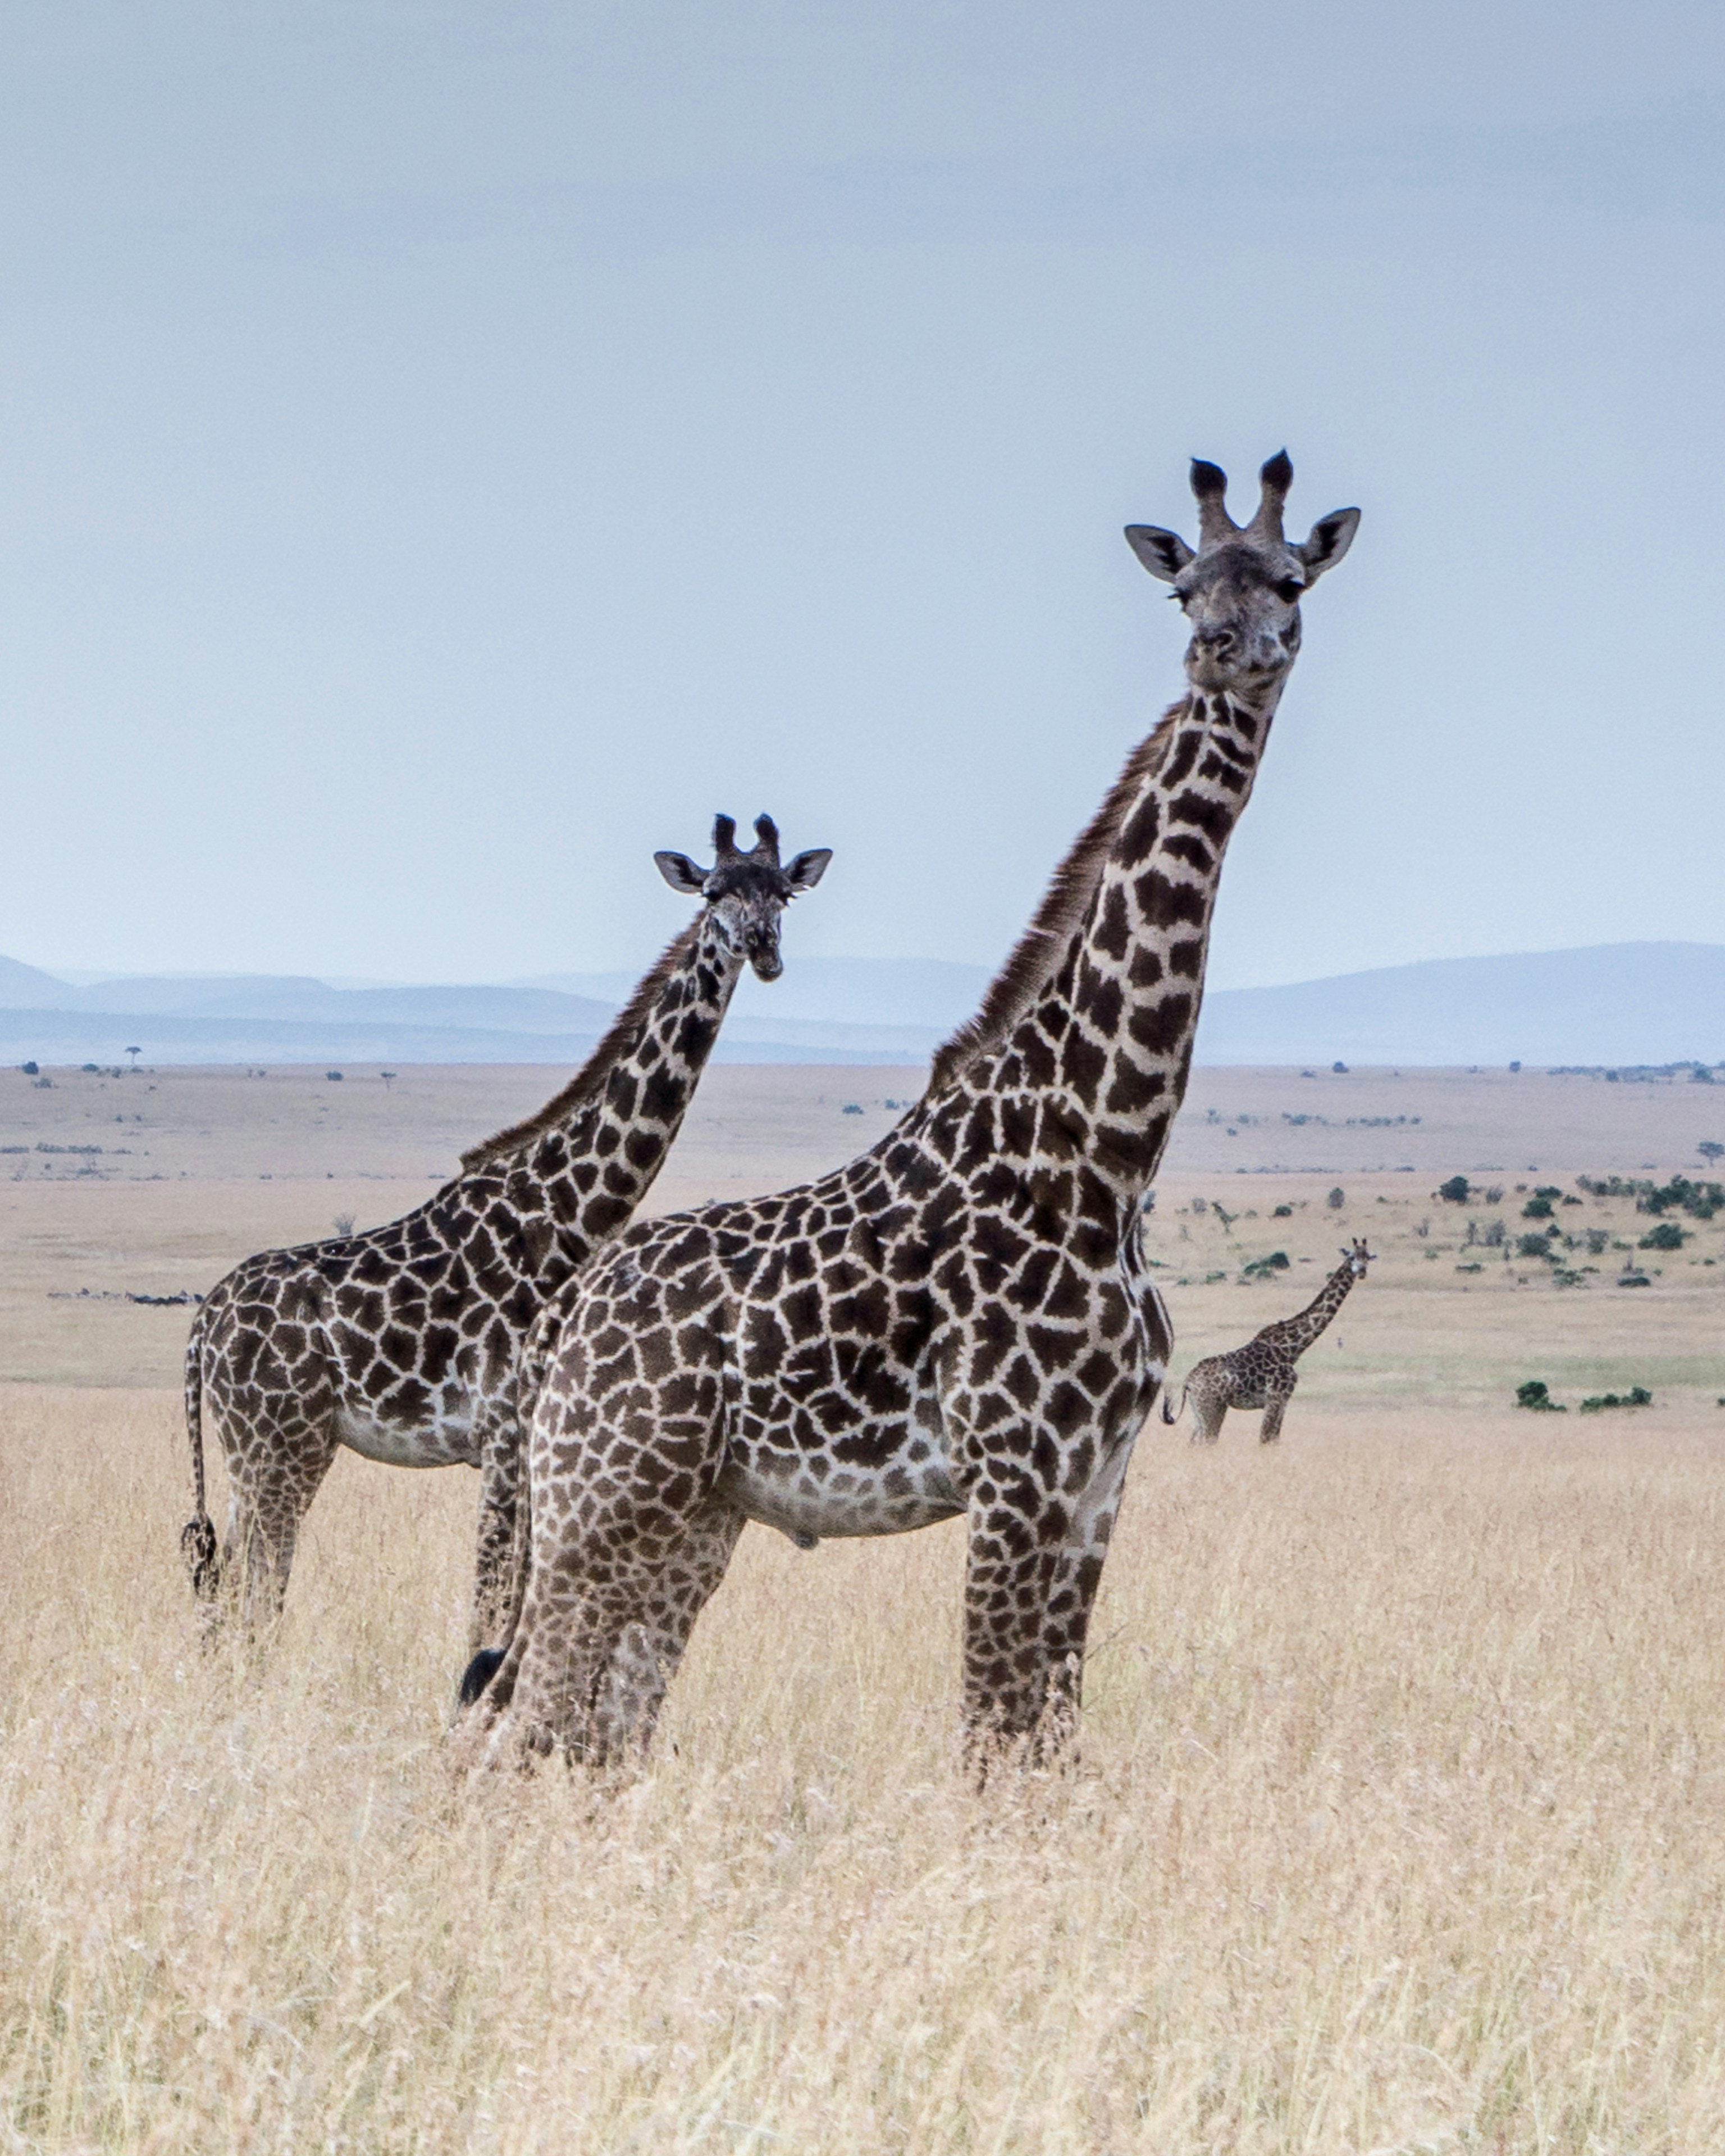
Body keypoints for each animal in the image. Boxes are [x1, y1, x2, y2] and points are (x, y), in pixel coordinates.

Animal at [180, 814, 831, 1643]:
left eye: (783, 894)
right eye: (715, 892)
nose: (764, 950)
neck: (571, 1214)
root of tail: (203, 1326)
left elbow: (513, 1598)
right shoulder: (502, 1434)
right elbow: (489, 1603)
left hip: (258, 1449)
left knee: (225, 1584)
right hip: (278, 1444)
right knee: (254, 1588)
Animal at [1160, 1239, 1373, 1444]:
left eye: (1368, 1258)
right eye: (1352, 1257)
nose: (1362, 1272)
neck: (1293, 1347)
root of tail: (1188, 1381)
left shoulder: (1283, 1401)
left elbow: (1274, 1440)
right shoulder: (1275, 1398)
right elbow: (1265, 1439)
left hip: (1199, 1411)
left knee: (1194, 1442)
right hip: (1212, 1406)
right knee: (1210, 1441)